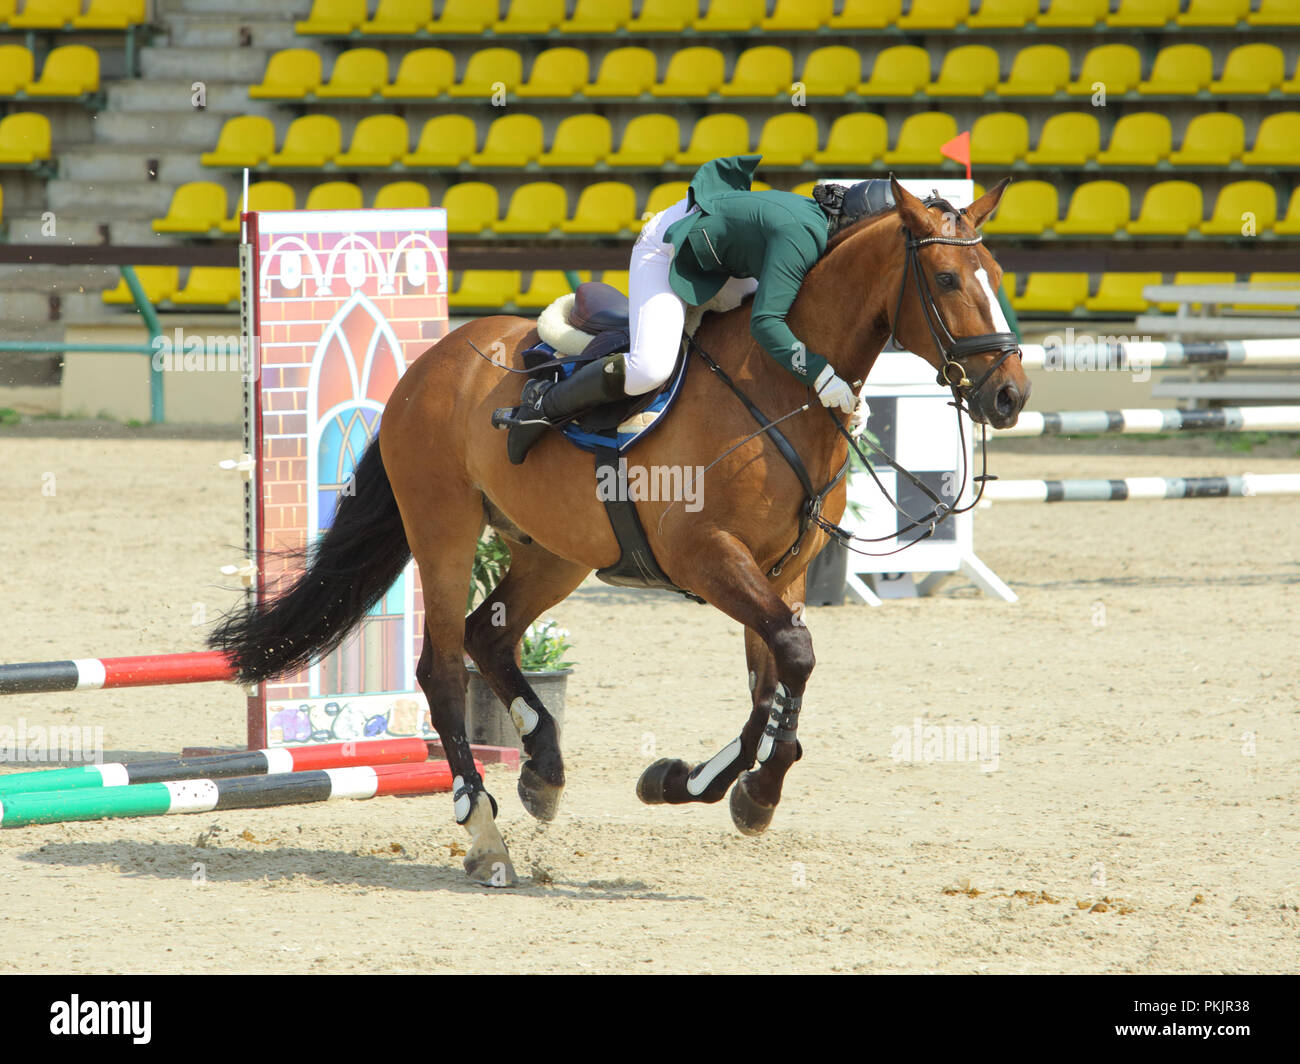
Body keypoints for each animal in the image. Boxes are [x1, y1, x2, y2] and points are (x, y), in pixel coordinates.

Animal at [209, 176, 1030, 887]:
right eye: (949, 280)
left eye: (996, 273)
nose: (1010, 396)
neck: (780, 388)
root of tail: (429, 365)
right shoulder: (707, 557)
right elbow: (792, 664)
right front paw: (752, 793)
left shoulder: (782, 571)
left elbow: (773, 691)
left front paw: (693, 783)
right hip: (444, 531)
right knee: (441, 668)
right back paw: (486, 835)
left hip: (554, 551)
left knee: (487, 635)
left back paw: (542, 769)